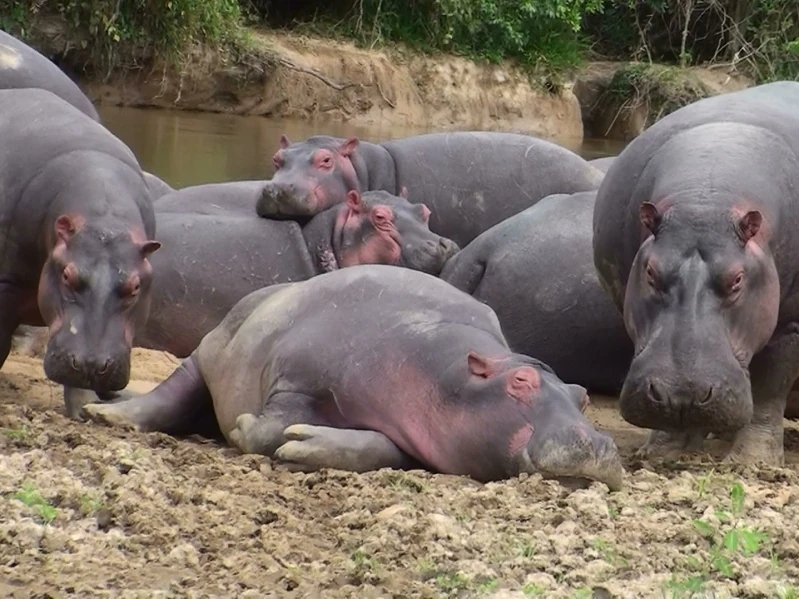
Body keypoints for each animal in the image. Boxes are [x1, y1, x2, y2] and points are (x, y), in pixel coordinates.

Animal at [0, 88, 159, 418]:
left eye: (136, 286)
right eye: (67, 275)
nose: (91, 365)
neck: (104, 220)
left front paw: (82, 410)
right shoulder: (5, 285)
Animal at [83, 265, 625, 490]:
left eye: (582, 396)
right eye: (520, 383)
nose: (598, 443)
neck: (452, 372)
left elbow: (381, 448)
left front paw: (305, 443)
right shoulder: (296, 372)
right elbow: (270, 423)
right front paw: (248, 429)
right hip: (208, 351)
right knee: (172, 392)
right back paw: (105, 413)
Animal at [593, 81, 799, 464]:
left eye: (737, 279)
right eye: (651, 272)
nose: (680, 395)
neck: (708, 197)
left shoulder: (792, 321)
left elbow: (770, 386)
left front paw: (752, 462)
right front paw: (663, 451)